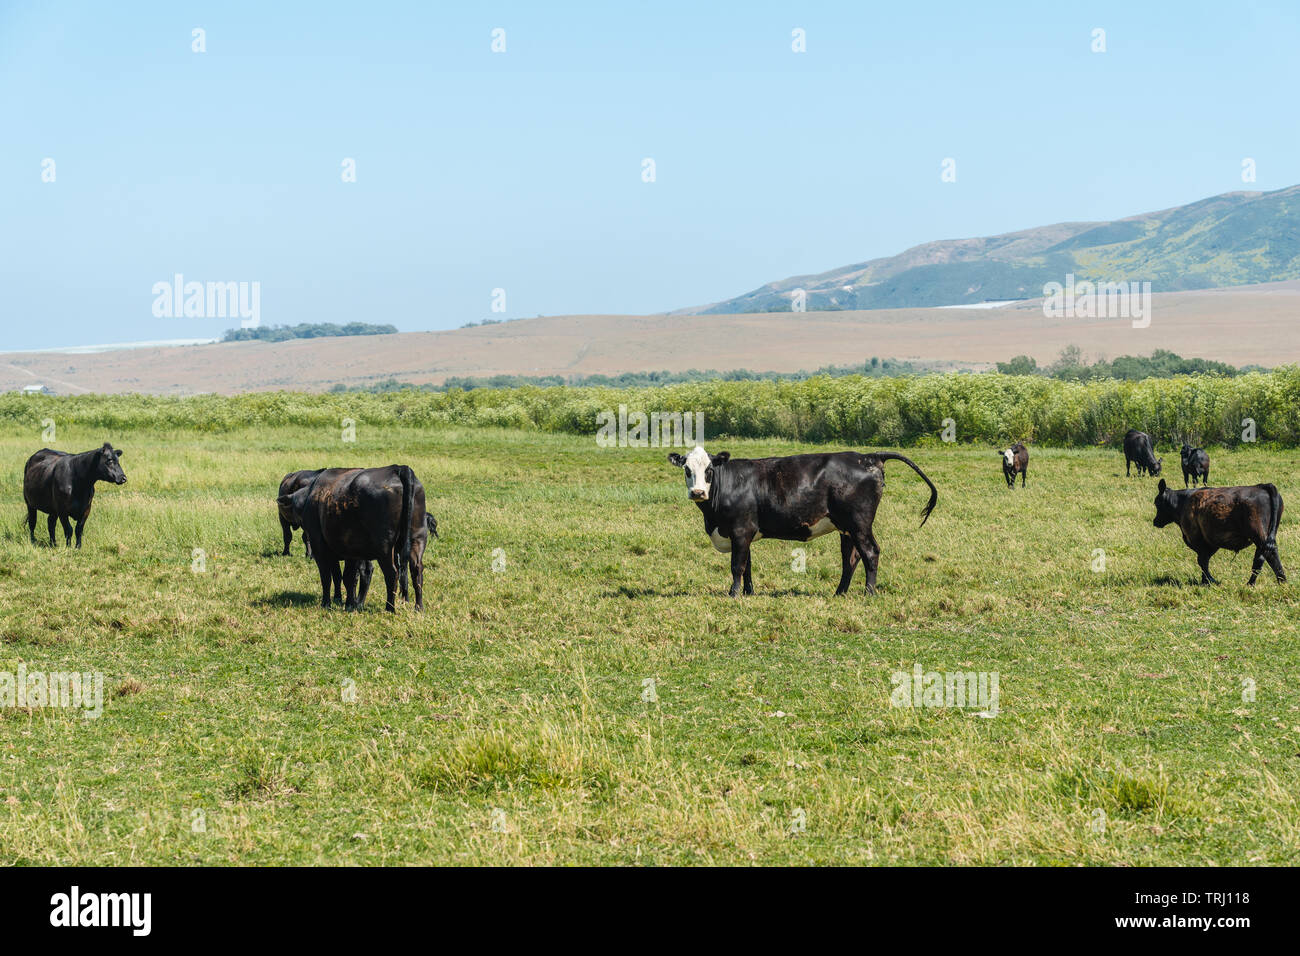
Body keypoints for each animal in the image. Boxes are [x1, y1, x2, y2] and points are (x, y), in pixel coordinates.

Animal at [279, 465, 429, 612]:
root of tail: (398, 468)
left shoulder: (321, 548)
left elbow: (328, 577)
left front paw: (327, 603)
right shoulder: (350, 553)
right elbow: (346, 577)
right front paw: (347, 602)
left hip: (385, 549)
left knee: (392, 574)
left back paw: (390, 608)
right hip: (417, 539)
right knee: (416, 571)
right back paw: (418, 607)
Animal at [667, 446, 937, 597]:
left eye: (709, 470)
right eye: (687, 470)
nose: (697, 492)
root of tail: (868, 457)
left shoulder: (741, 531)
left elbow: (737, 566)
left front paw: (733, 595)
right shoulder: (744, 534)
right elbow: (748, 566)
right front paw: (748, 592)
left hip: (859, 523)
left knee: (870, 553)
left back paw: (868, 593)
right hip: (846, 528)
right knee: (850, 558)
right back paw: (840, 593)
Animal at [1152, 478, 1285, 585]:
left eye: (1157, 503)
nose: (1155, 521)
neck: (1183, 502)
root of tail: (1262, 486)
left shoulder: (1198, 539)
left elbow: (1202, 561)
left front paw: (1208, 581)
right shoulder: (1210, 541)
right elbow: (1204, 560)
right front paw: (1206, 580)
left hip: (1258, 534)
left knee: (1267, 557)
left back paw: (1254, 583)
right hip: (1265, 536)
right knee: (1263, 557)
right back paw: (1281, 582)